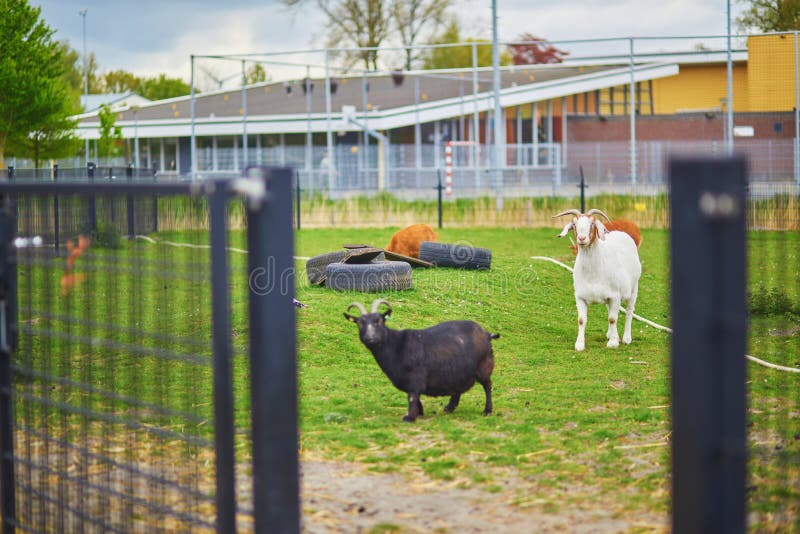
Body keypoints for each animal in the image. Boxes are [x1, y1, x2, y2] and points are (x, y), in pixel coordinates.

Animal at [344, 299, 498, 422]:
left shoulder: (415, 378)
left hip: (484, 366)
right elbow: (416, 398)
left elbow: (412, 397)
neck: (396, 345)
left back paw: (487, 411)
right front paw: (419, 413)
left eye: (379, 321)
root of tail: (487, 334)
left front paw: (409, 417)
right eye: (359, 323)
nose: (370, 338)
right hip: (460, 371)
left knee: (488, 386)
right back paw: (449, 408)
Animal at [553, 208, 642, 351]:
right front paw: (579, 344)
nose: (581, 238)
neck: (593, 273)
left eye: (592, 224)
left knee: (629, 311)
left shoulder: (615, 296)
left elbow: (612, 318)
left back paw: (626, 338)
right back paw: (610, 334)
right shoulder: (580, 297)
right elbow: (581, 320)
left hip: (633, 289)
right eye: (574, 225)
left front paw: (613, 343)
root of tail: (621, 233)